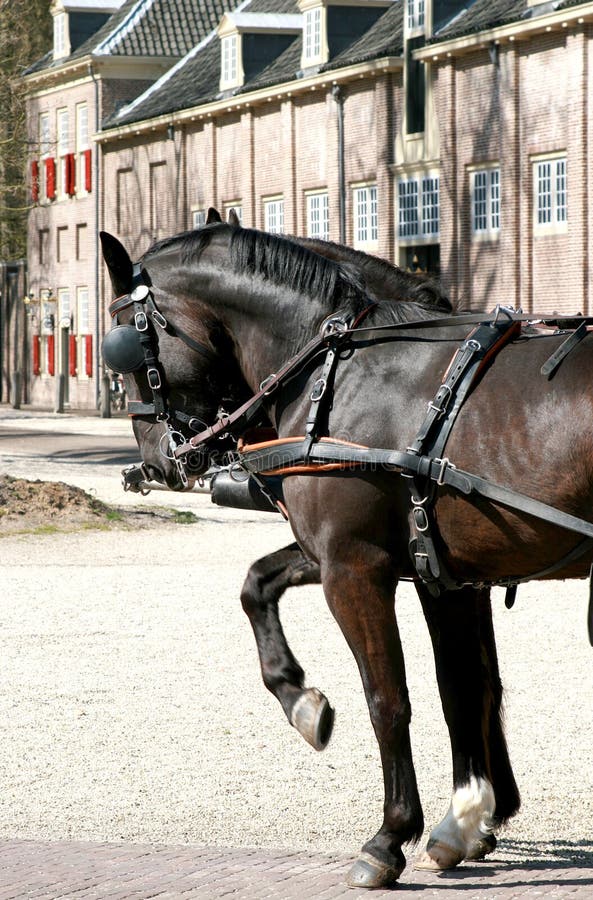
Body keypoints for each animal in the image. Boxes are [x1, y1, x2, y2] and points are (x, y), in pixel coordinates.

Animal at [99, 221, 593, 887]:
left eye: (125, 344)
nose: (156, 460)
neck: (338, 369)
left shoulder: (354, 567)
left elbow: (390, 698)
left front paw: (392, 836)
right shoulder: (428, 572)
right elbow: (461, 686)